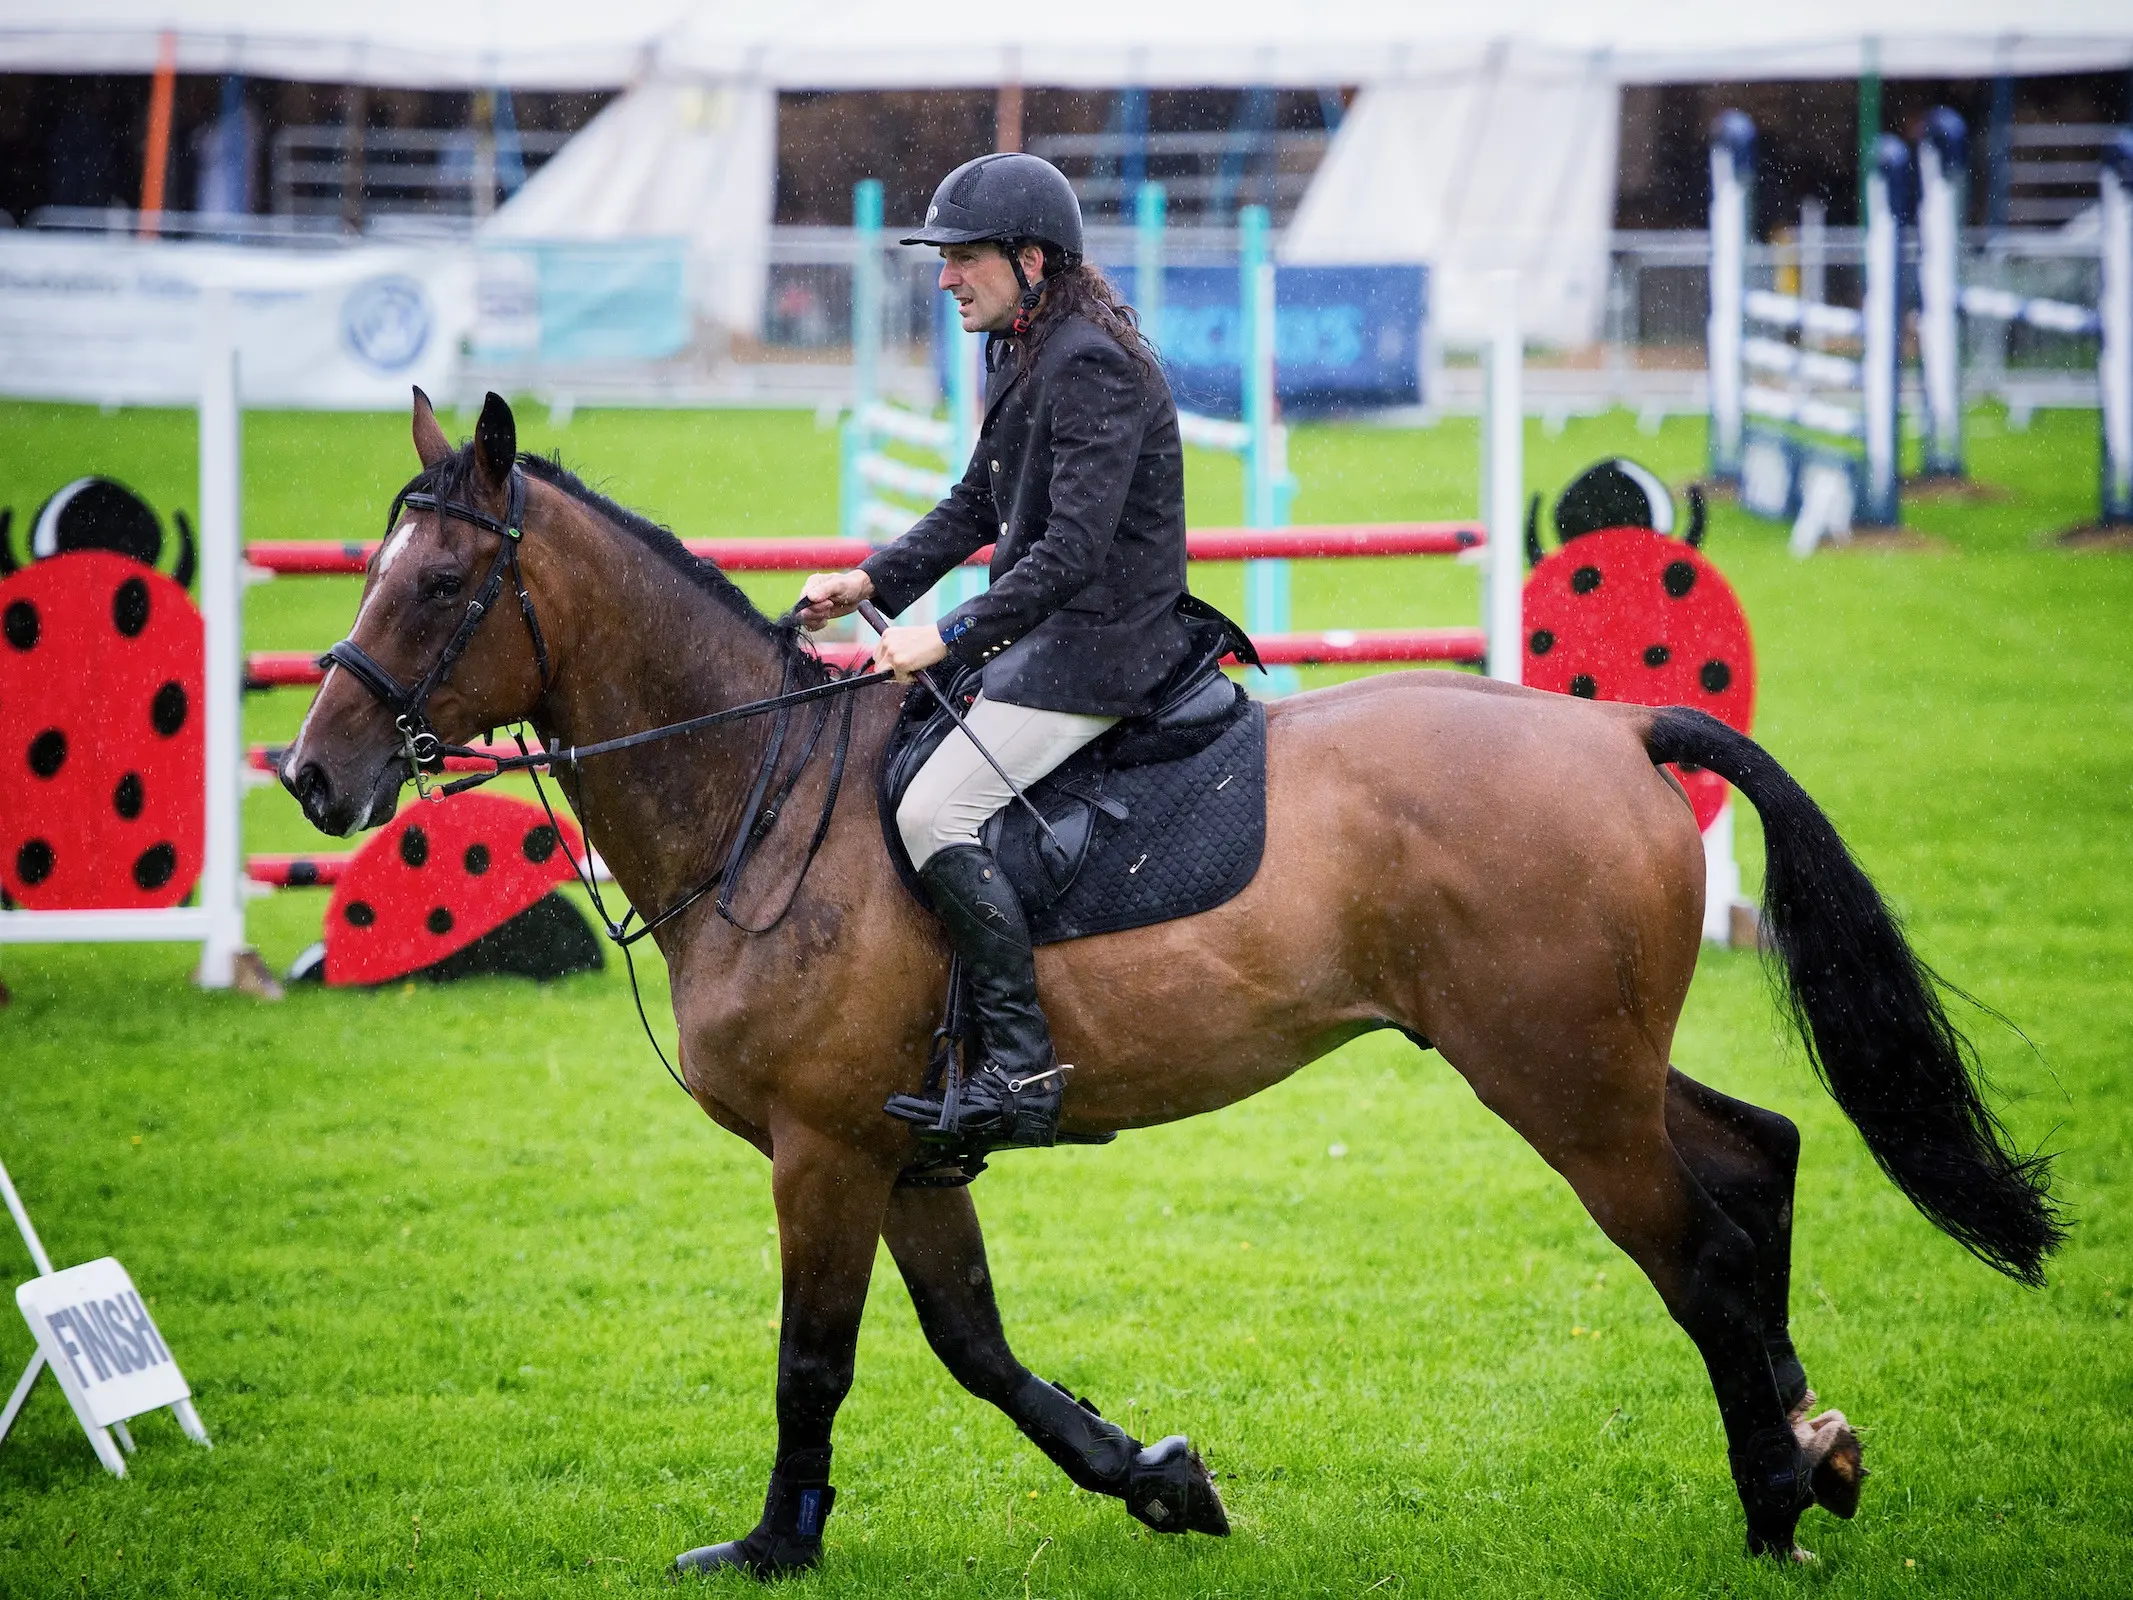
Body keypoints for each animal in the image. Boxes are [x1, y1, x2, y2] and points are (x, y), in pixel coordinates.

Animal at [281, 391, 2060, 1572]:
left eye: (438, 587)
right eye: (372, 570)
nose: (311, 778)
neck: (761, 797)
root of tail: (1617, 724)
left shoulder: (823, 1151)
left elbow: (817, 1356)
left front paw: (774, 1546)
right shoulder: (907, 1155)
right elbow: (978, 1350)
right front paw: (1157, 1476)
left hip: (1557, 1080)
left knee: (1696, 1243)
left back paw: (1771, 1502)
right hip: (1594, 1060)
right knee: (1757, 1157)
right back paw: (1813, 1449)